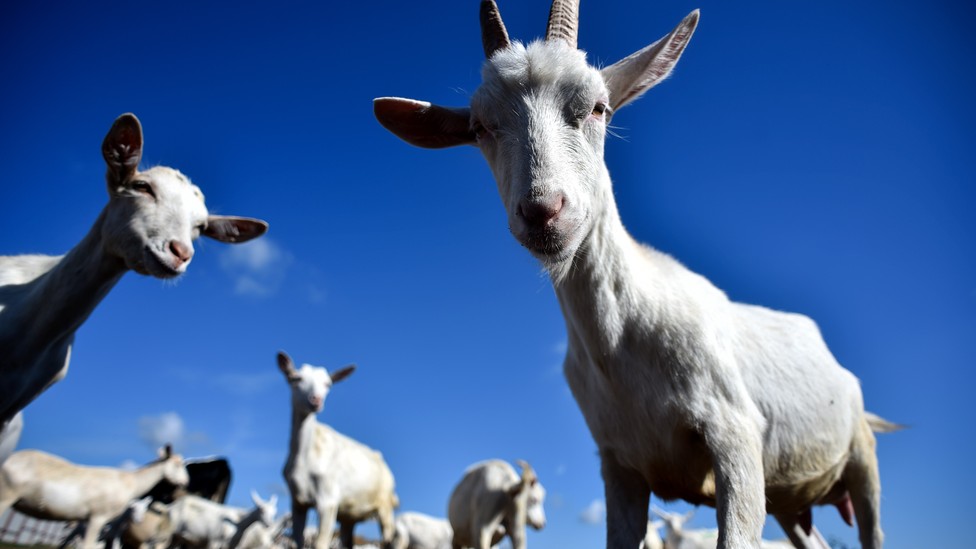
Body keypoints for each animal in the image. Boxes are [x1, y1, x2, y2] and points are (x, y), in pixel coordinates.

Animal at [0, 445, 188, 549]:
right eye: (178, 464)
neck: (130, 482)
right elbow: (88, 546)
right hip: (6, 496)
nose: (186, 482)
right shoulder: (98, 517)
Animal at [277, 351, 399, 549]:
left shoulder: (328, 500)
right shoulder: (297, 501)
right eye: (296, 378)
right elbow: (298, 541)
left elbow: (320, 543)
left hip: (385, 505)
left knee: (388, 537)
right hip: (349, 514)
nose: (316, 400)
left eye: (328, 384)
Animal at [374, 1, 900, 548]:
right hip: (789, 500)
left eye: (599, 108)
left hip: (861, 458)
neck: (625, 332)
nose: (543, 211)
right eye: (478, 127)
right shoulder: (619, 465)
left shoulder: (736, 434)